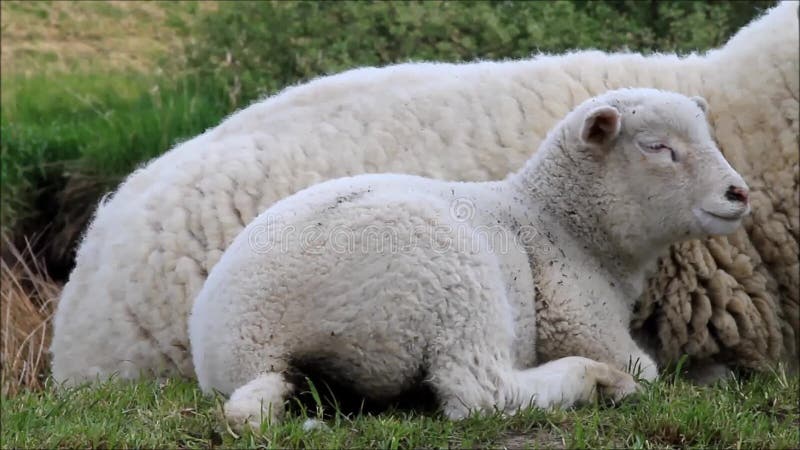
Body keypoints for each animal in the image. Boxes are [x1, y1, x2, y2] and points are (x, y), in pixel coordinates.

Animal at [189, 88, 749, 428]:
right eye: (657, 147)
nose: (739, 193)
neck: (559, 220)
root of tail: (256, 352)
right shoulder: (576, 312)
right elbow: (645, 367)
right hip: (448, 277)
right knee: (482, 394)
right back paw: (596, 381)